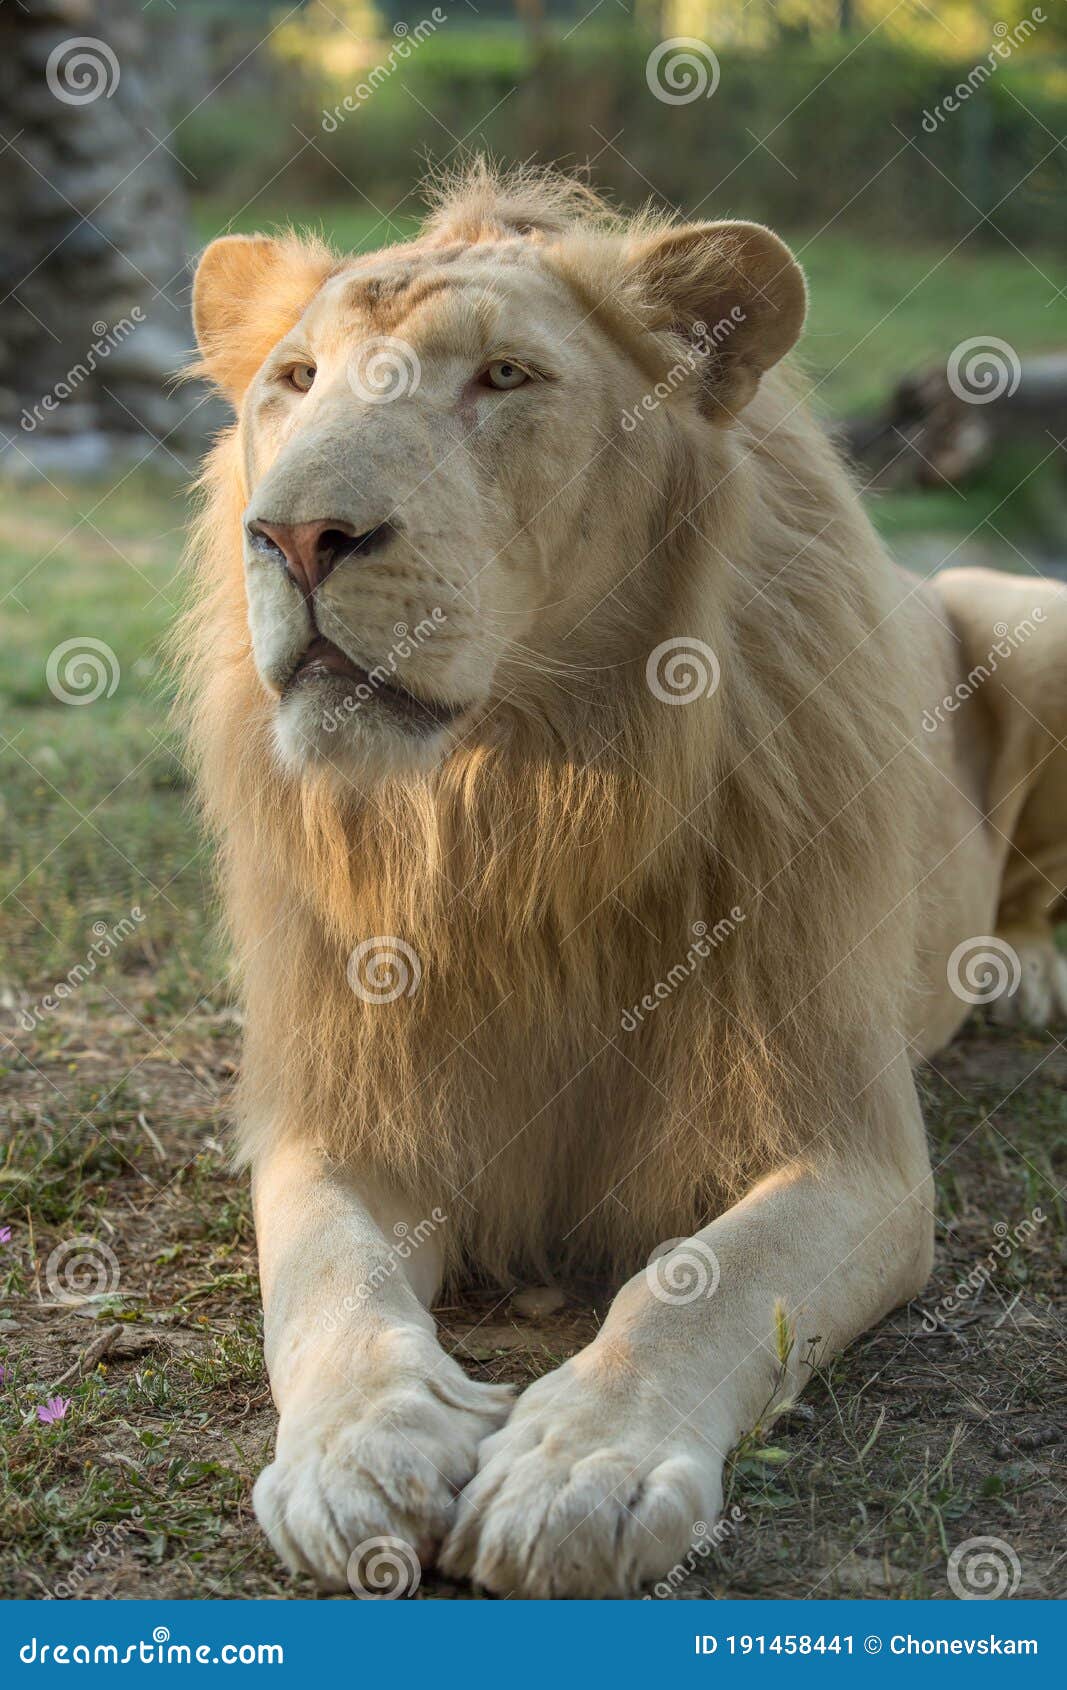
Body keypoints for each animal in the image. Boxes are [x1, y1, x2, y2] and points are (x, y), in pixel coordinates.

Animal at [182, 164, 1067, 1599]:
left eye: (502, 375)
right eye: (295, 379)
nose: (298, 535)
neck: (519, 795)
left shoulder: (850, 1145)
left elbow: (701, 1278)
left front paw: (579, 1465)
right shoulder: (337, 1109)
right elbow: (324, 1273)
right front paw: (359, 1449)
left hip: (1023, 609)